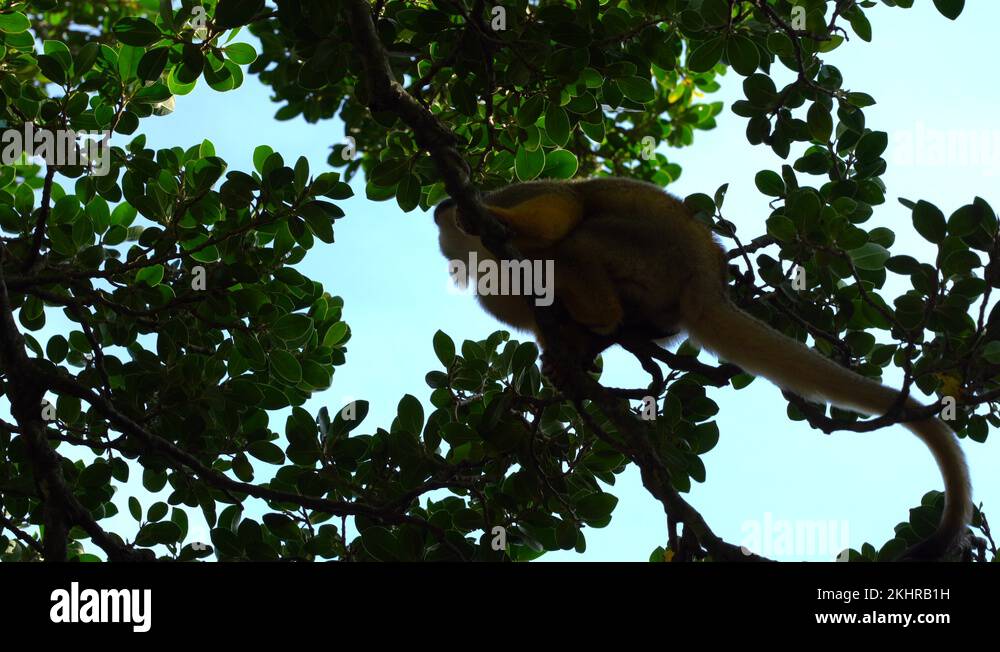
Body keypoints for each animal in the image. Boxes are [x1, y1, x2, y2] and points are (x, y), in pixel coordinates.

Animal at [433, 176, 972, 560]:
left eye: (448, 234)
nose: (451, 264)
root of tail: (708, 278)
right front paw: (563, 360)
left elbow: (560, 210)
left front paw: (488, 216)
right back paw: (596, 335)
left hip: (654, 251)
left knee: (575, 240)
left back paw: (598, 314)